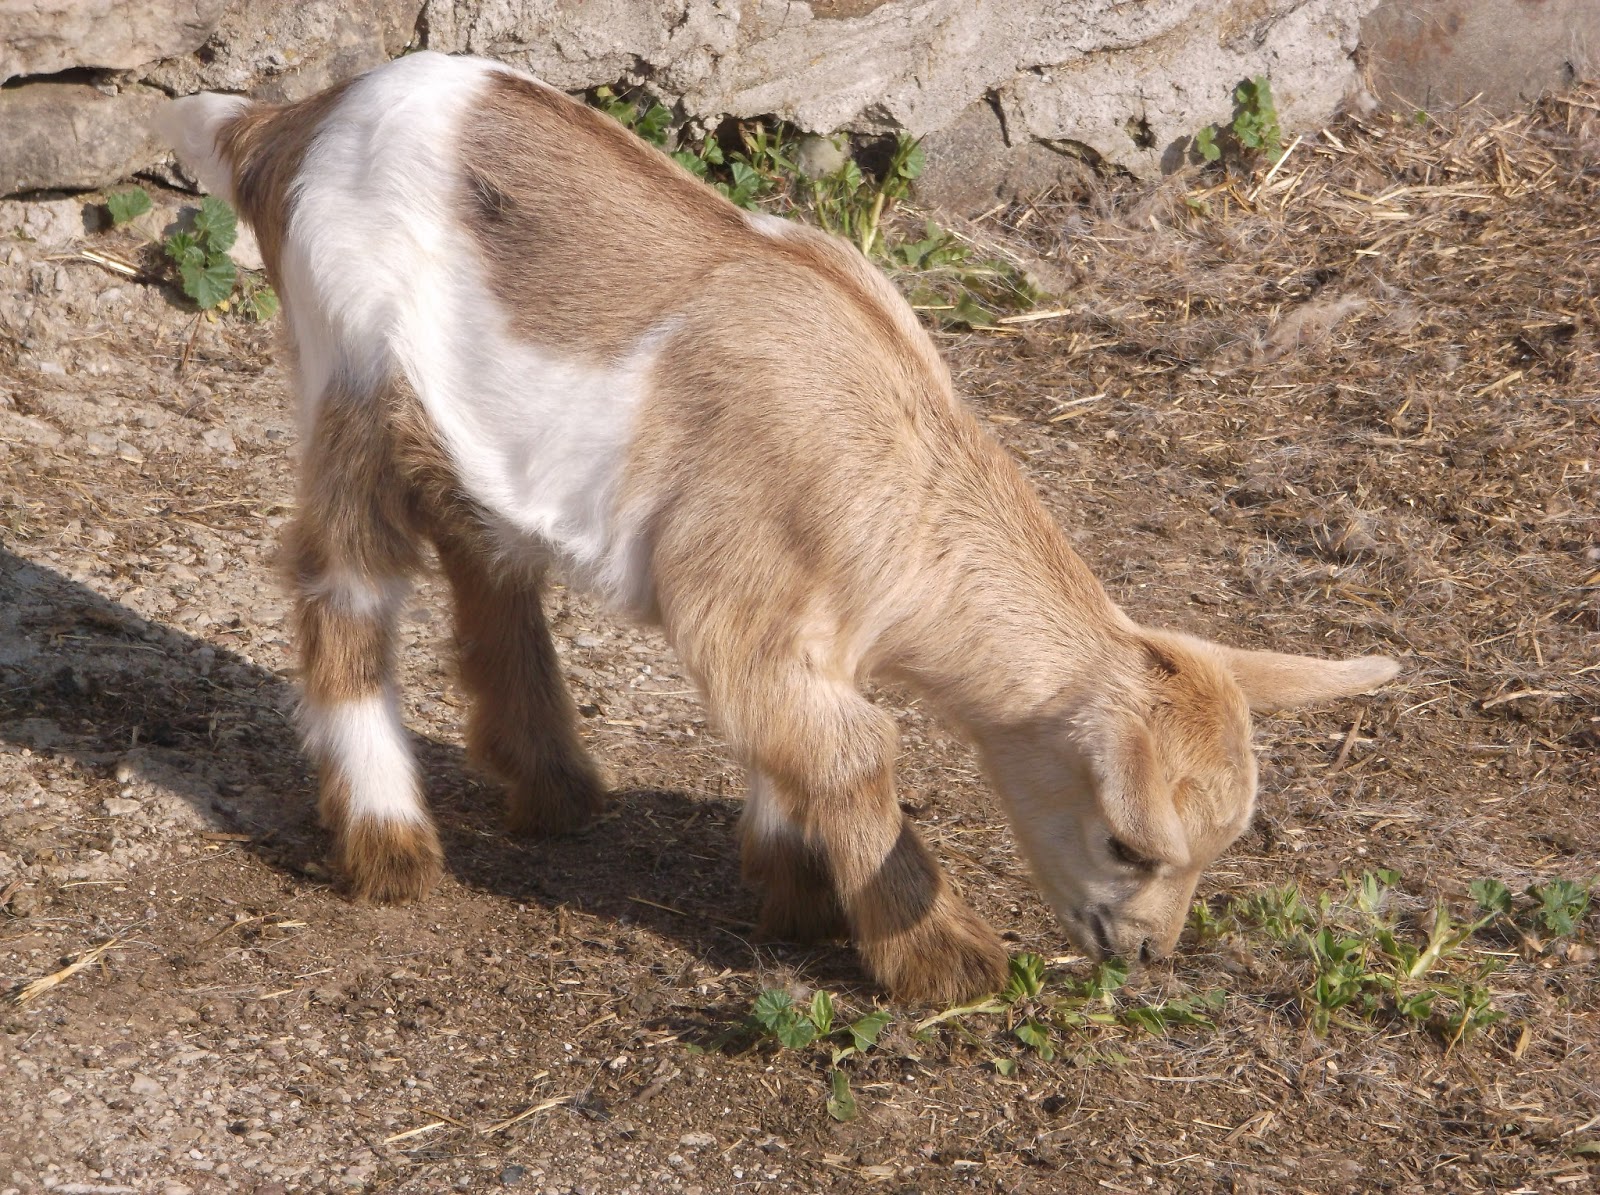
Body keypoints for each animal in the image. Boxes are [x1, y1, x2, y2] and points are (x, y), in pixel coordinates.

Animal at [155, 51, 1399, 1004]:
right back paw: (391, 848)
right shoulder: (734, 591)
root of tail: (286, 123)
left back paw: (554, 787)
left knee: (483, 560)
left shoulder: (806, 622)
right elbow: (853, 748)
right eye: (1126, 841)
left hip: (455, 431)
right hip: (346, 371)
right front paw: (941, 959)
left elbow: (792, 735)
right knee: (344, 589)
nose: (1142, 952)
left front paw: (795, 888)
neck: (896, 478)